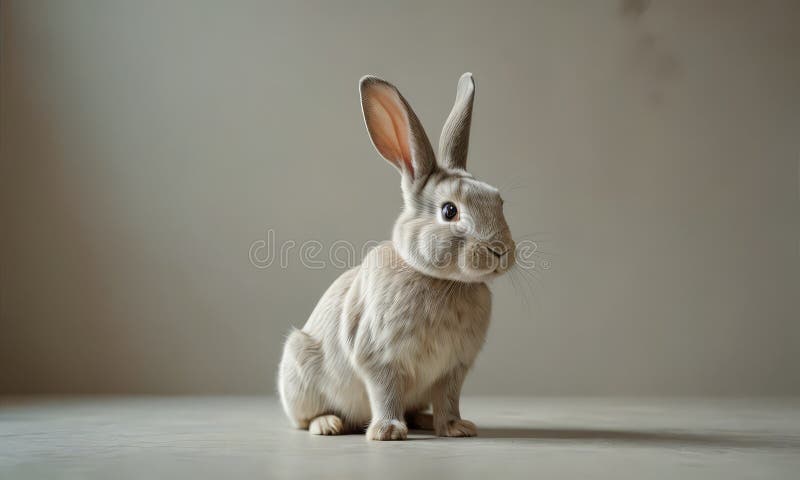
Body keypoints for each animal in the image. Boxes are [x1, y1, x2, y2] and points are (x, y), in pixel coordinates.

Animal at [277, 73, 515, 440]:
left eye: (499, 201)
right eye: (449, 211)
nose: (501, 251)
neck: (442, 281)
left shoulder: (453, 369)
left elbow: (449, 399)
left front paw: (456, 427)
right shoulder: (379, 358)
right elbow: (385, 393)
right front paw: (388, 432)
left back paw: (423, 420)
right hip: (299, 368)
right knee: (304, 419)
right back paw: (328, 424)